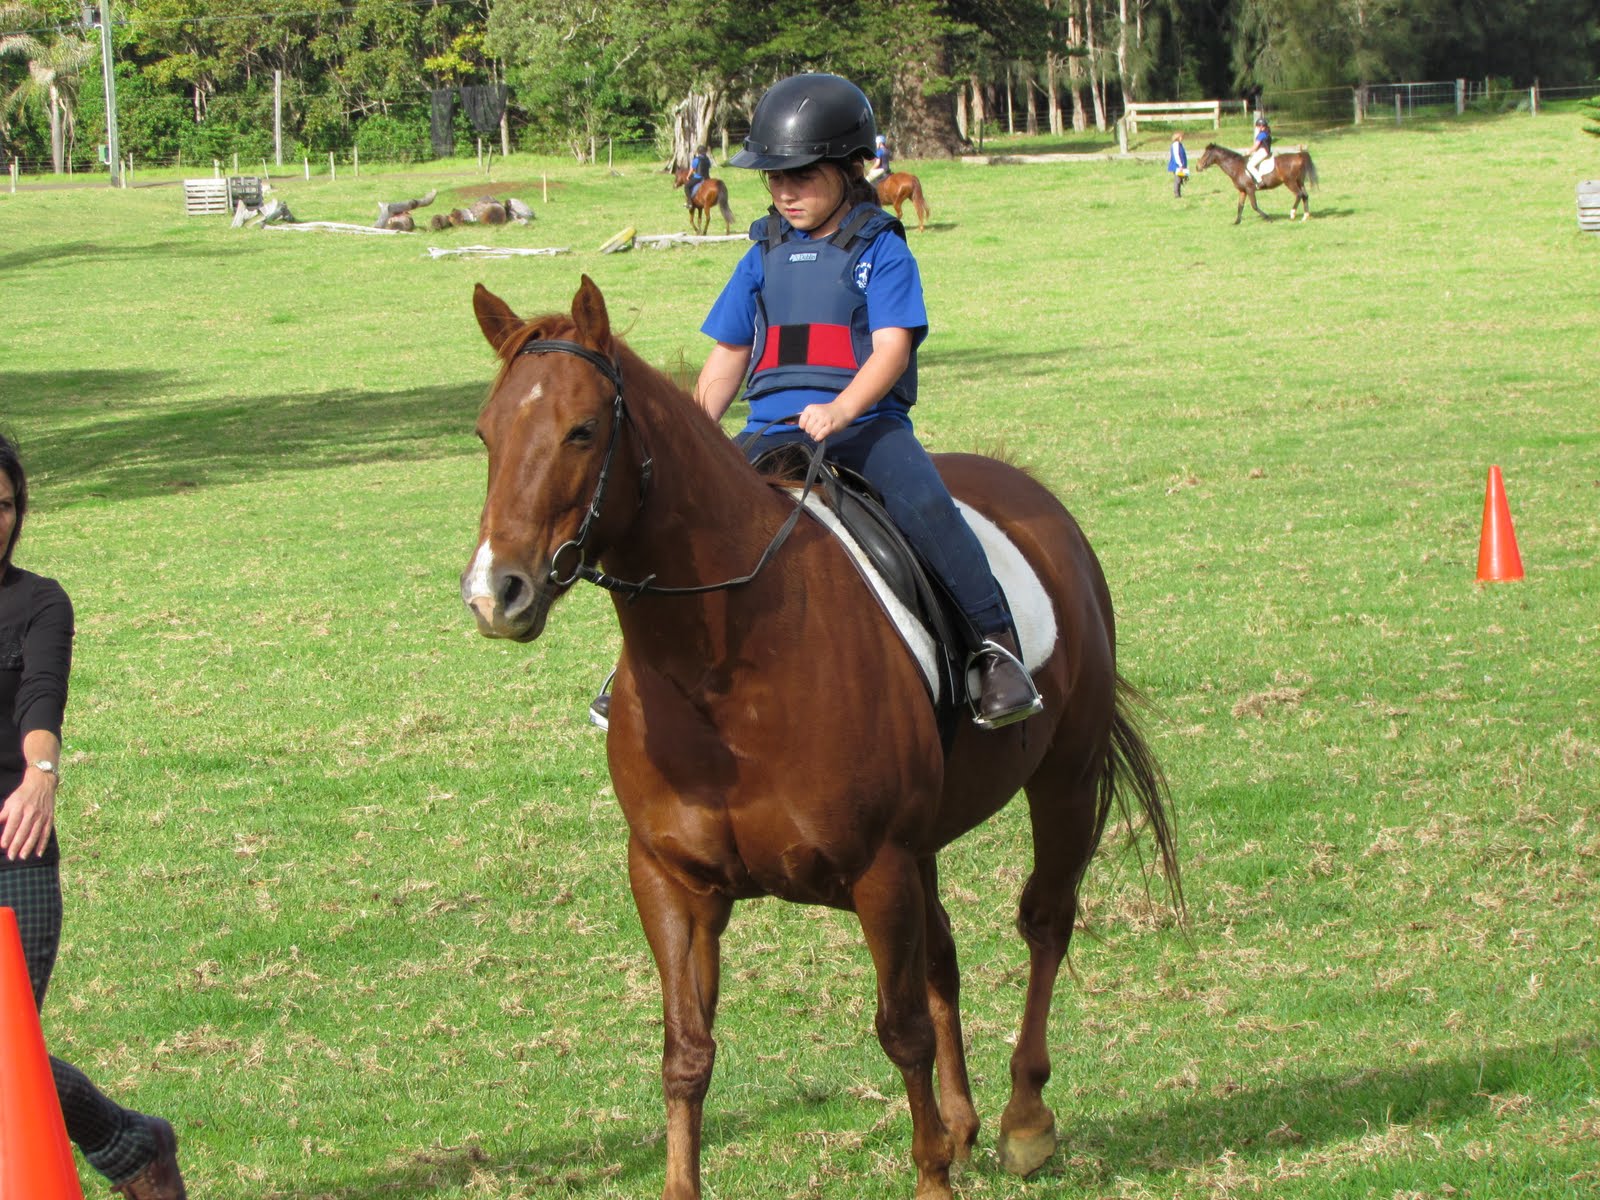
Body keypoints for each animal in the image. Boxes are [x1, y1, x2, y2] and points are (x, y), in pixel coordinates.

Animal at [460, 276, 1182, 1200]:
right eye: (487, 432)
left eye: (582, 429)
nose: (496, 592)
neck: (723, 676)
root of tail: (1030, 494)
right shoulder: (671, 881)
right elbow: (686, 1053)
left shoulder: (877, 869)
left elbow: (901, 1031)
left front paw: (933, 1177)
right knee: (944, 956)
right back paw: (964, 1123)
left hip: (1065, 780)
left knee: (1044, 923)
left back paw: (1023, 1120)